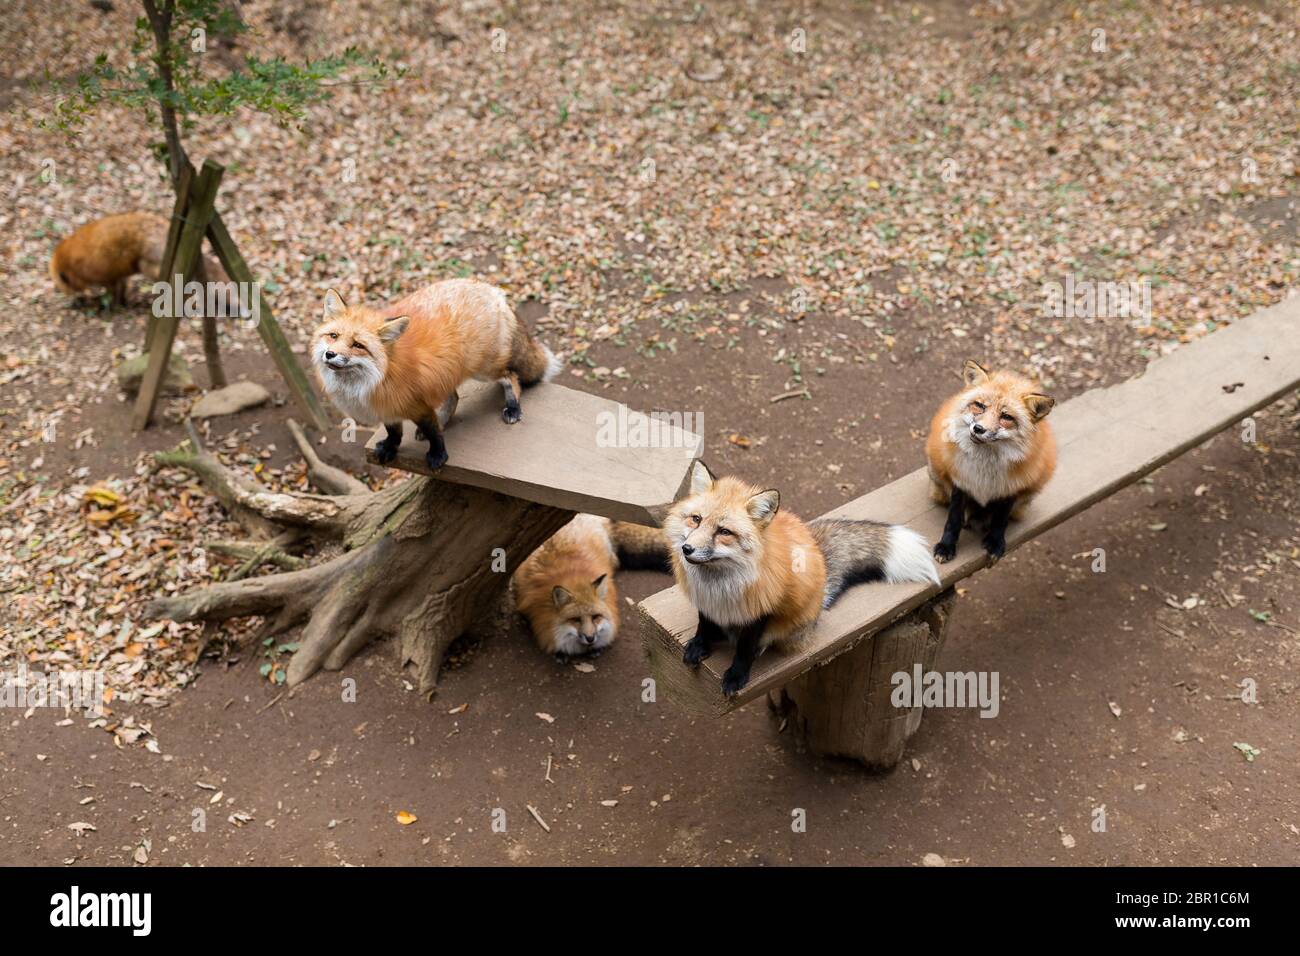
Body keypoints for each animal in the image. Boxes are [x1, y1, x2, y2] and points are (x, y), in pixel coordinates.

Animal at [49, 211, 228, 305]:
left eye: (62, 288)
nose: (73, 302)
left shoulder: (107, 277)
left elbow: (114, 294)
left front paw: (111, 306)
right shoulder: (118, 274)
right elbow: (122, 290)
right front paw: (122, 304)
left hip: (147, 266)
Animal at [310, 278, 562, 471]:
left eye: (357, 345)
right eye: (333, 336)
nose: (330, 354)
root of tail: (490, 289)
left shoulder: (417, 406)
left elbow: (434, 435)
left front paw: (438, 456)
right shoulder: (388, 408)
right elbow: (395, 432)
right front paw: (391, 447)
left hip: (485, 370)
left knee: (511, 377)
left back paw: (513, 407)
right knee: (454, 397)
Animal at [513, 515, 670, 657]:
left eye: (596, 617)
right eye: (575, 620)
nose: (590, 638)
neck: (572, 574)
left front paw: (596, 648)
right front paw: (560, 653)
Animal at [666, 462, 940, 696]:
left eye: (724, 532)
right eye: (696, 519)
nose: (687, 549)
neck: (719, 585)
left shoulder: (763, 608)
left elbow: (744, 649)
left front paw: (736, 675)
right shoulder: (704, 600)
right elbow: (704, 624)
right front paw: (699, 645)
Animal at [926, 359, 1057, 564]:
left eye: (1006, 417)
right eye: (979, 406)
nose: (978, 429)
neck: (985, 468)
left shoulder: (1012, 488)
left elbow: (1000, 520)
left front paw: (995, 543)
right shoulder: (961, 482)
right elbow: (953, 519)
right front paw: (946, 546)